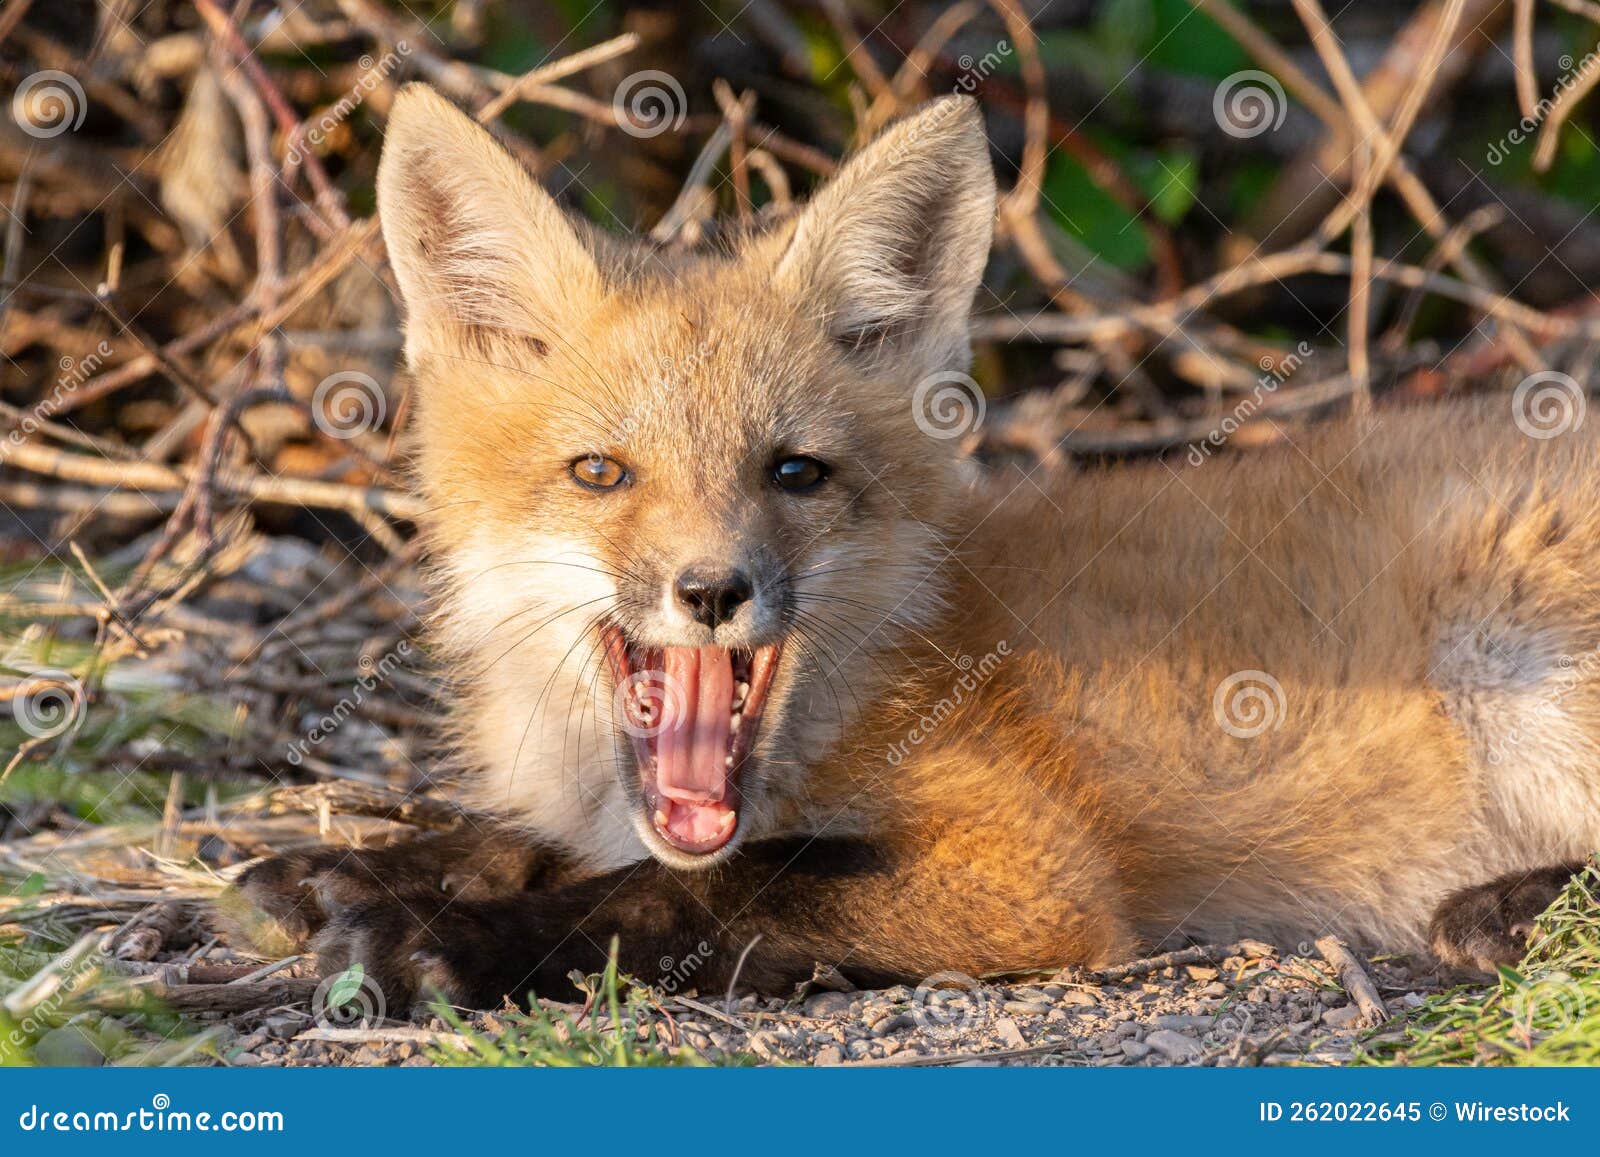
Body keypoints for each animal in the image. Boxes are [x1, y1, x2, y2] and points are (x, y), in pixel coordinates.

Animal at [233, 85, 1600, 1009]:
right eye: (600, 474)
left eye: (794, 471)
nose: (713, 589)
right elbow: (541, 845)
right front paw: (364, 868)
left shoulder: (1030, 870)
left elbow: (716, 881)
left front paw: (441, 940)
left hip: (1510, 659)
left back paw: (1502, 911)